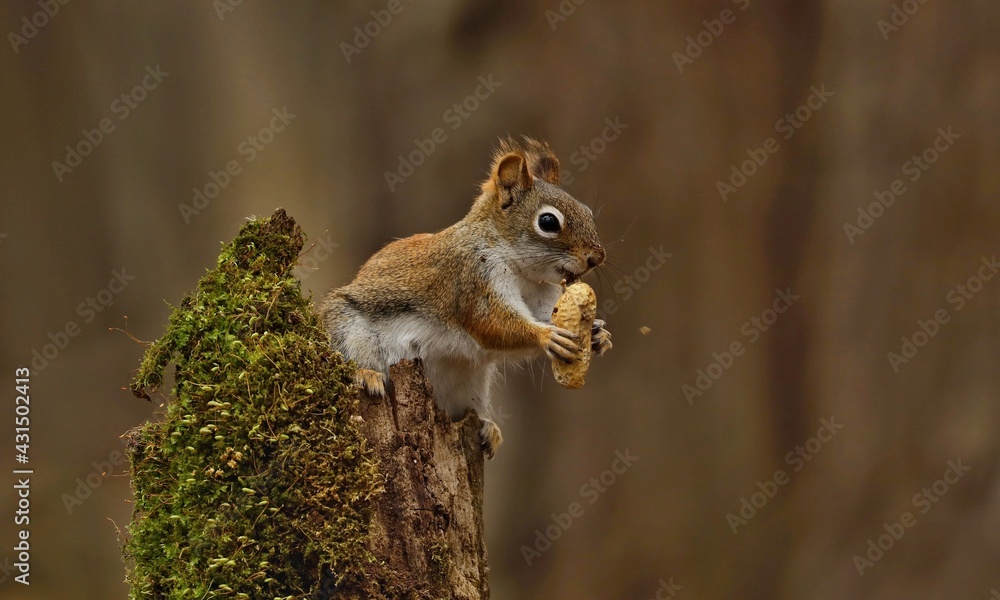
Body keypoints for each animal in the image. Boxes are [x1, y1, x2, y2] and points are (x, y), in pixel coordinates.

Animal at [319, 137, 611, 459]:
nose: (597, 257)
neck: (519, 267)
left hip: (467, 385)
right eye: (548, 222)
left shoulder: (541, 297)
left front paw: (597, 334)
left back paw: (488, 428)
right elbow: (492, 324)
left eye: (587, 211)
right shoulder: (471, 279)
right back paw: (367, 374)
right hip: (350, 332)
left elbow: (545, 315)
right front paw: (548, 337)